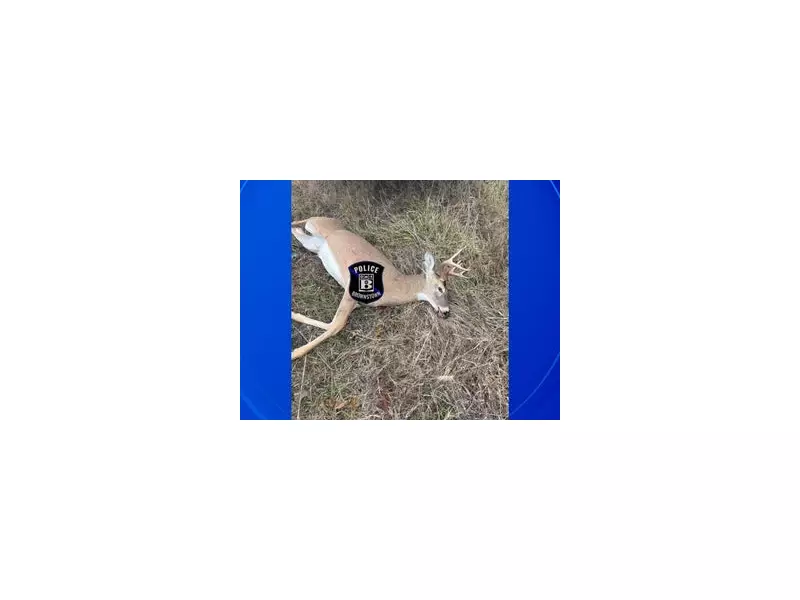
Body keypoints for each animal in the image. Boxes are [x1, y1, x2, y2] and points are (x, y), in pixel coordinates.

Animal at [291, 217, 468, 360]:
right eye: (440, 288)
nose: (446, 311)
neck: (396, 285)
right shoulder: (351, 289)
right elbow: (337, 325)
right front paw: (295, 352)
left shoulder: (358, 302)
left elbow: (336, 323)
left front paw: (294, 316)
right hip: (315, 225)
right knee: (305, 220)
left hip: (313, 244)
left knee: (297, 231)